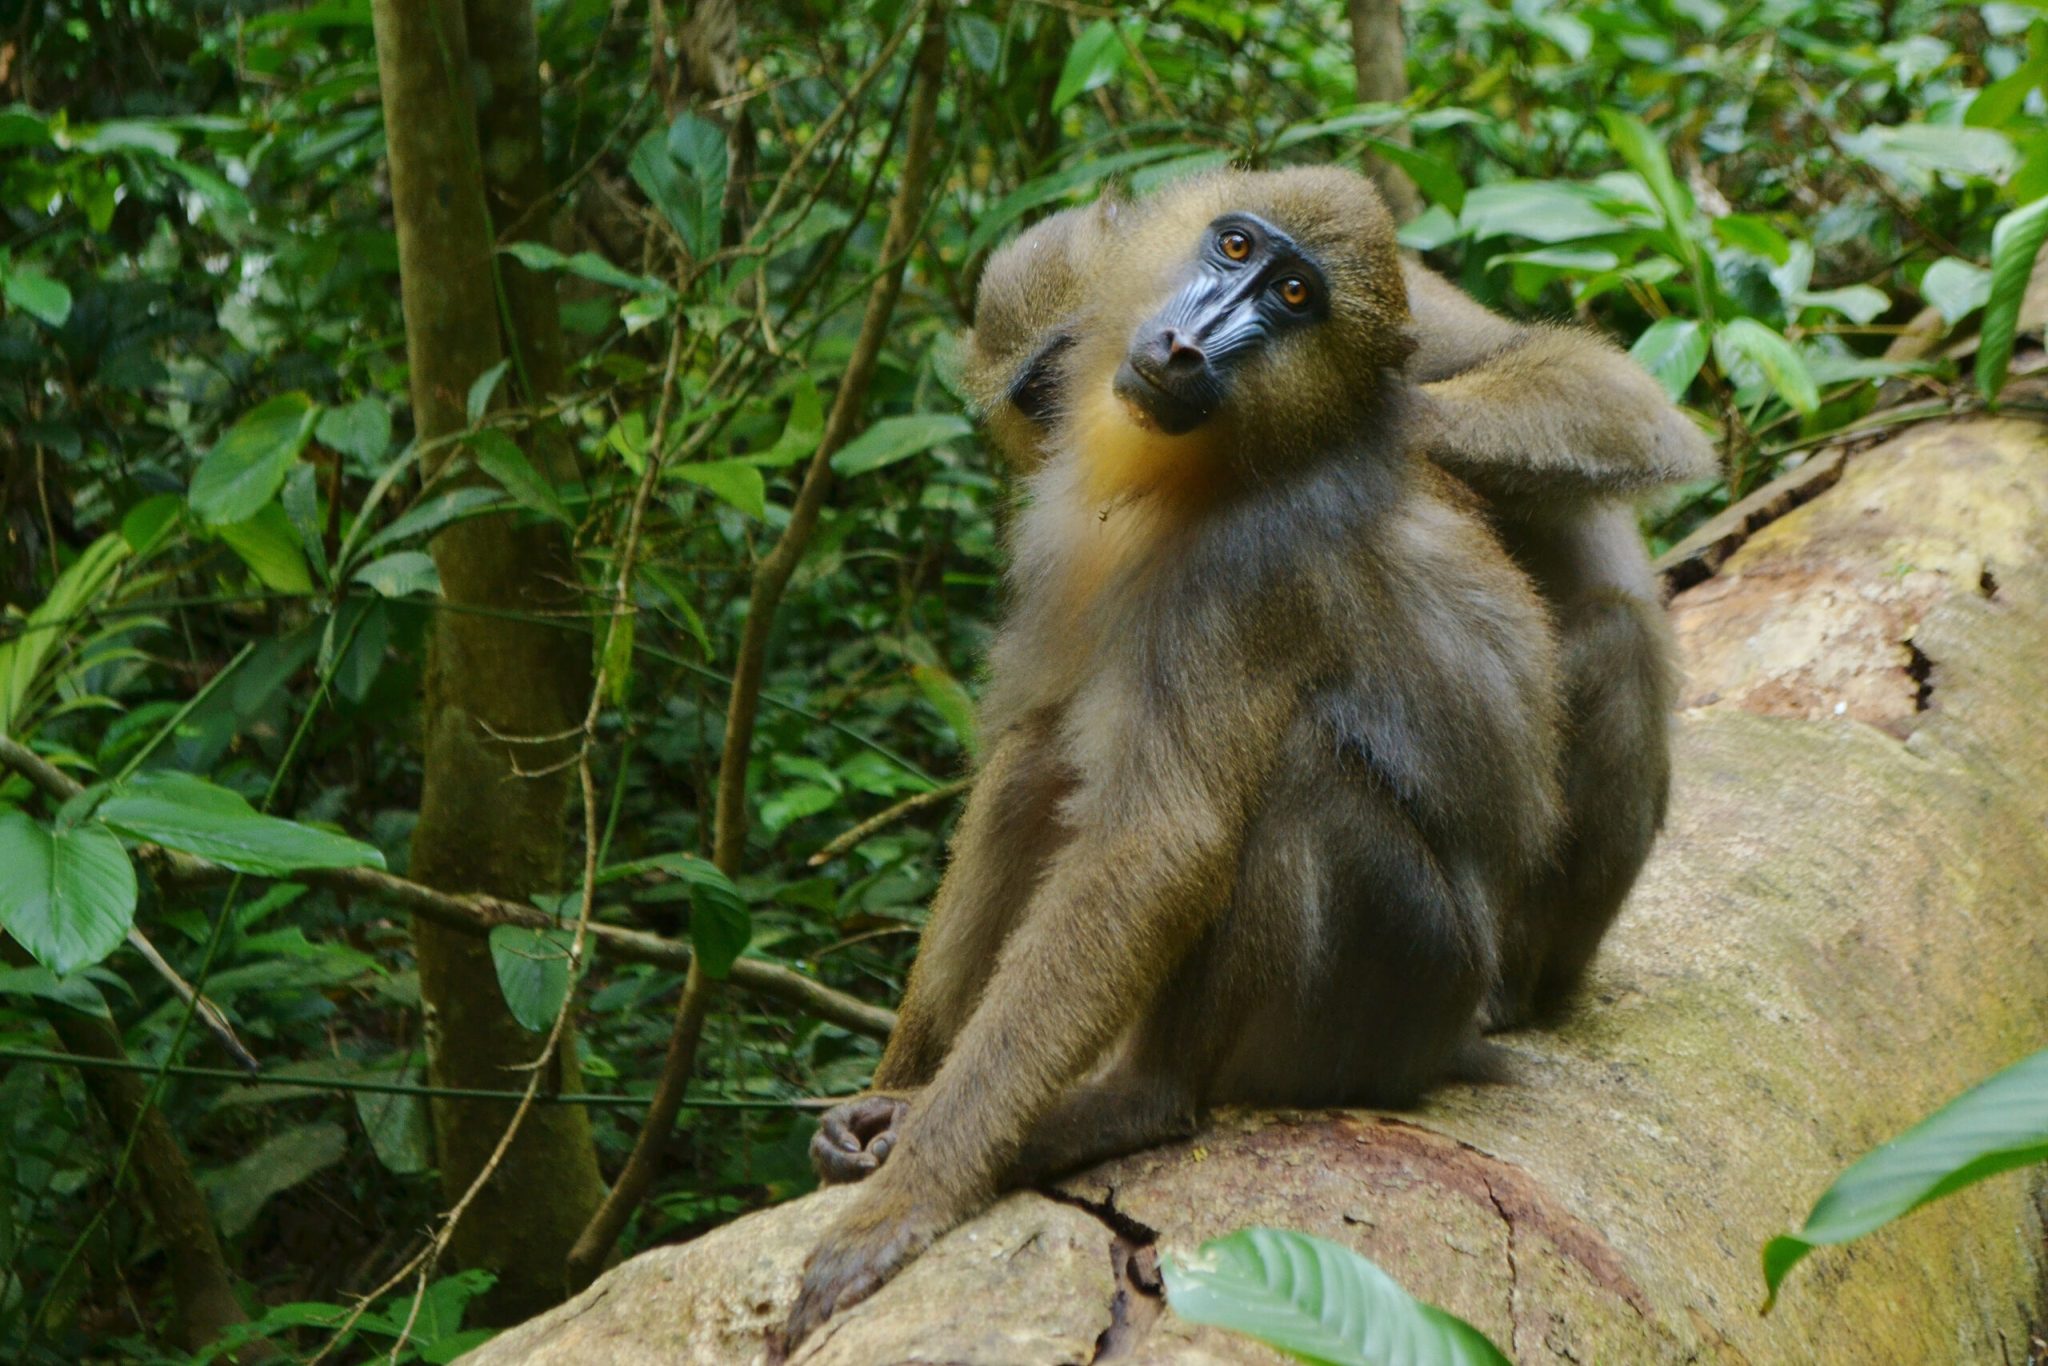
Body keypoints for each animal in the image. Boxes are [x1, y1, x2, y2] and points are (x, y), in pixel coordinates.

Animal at [782, 167, 1569, 1348]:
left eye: (1292, 297)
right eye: (1233, 247)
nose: (1191, 340)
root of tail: (1462, 1032)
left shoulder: (1249, 567)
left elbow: (1161, 840)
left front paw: (911, 1191)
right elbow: (1037, 748)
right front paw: (888, 1103)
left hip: (1400, 987)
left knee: (1287, 780)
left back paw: (1131, 1100)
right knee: (1046, 764)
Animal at [953, 192, 1717, 1029]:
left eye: (1074, 359)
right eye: (1039, 395)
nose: (1168, 359)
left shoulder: (1400, 313)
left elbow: (1609, 390)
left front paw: (1387, 421)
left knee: (1616, 631)